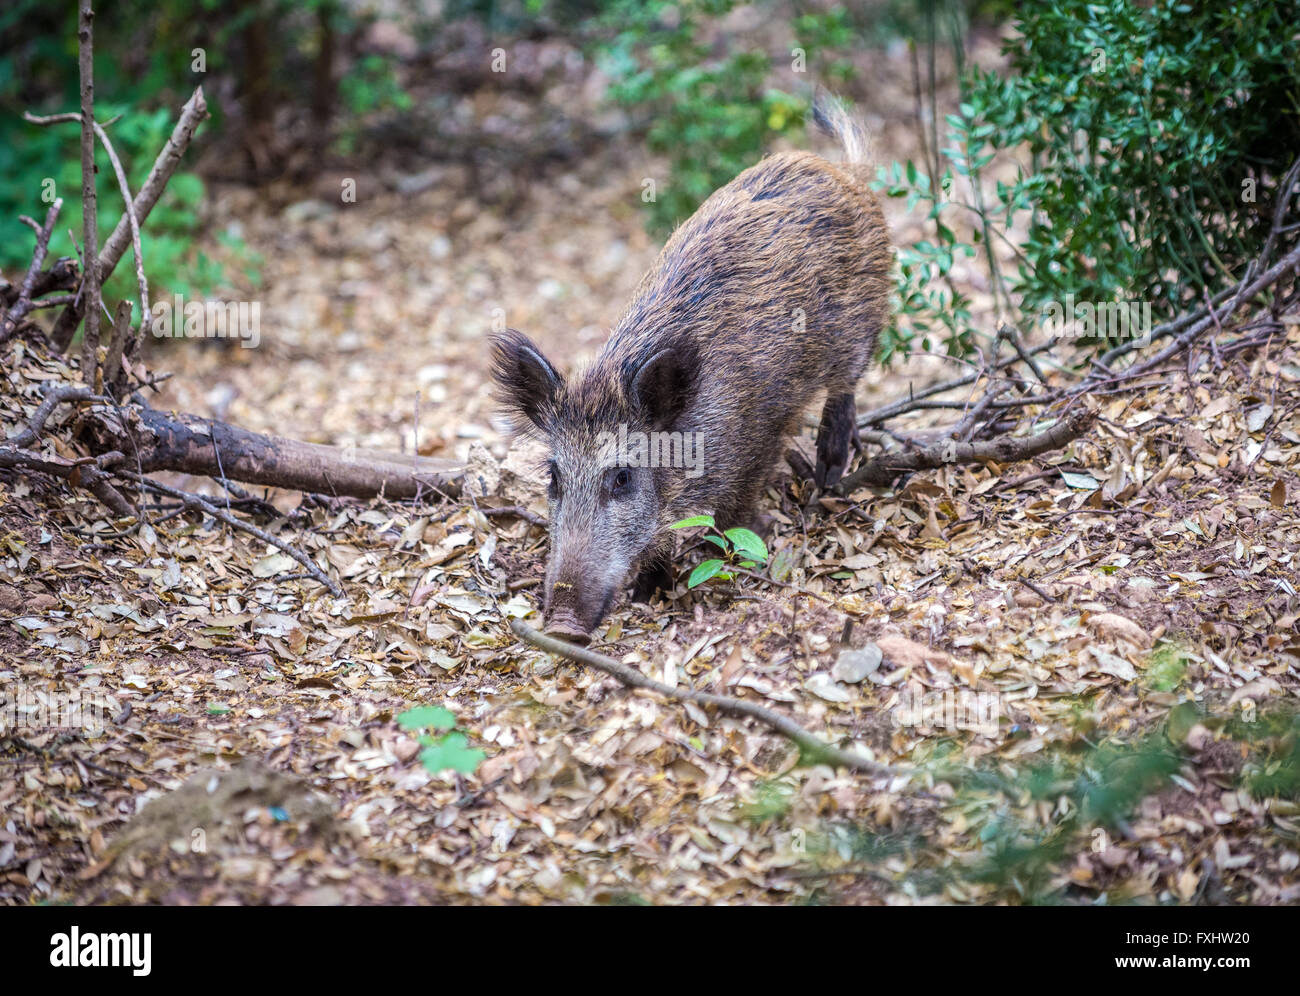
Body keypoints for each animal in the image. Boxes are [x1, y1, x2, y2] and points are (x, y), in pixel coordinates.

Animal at [491, 95, 892, 642]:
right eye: (553, 476)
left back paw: (829, 471)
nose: (561, 626)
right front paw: (649, 592)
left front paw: (732, 561)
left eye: (622, 477)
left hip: (865, 321)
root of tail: (845, 171)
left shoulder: (758, 442)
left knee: (846, 384)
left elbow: (731, 518)